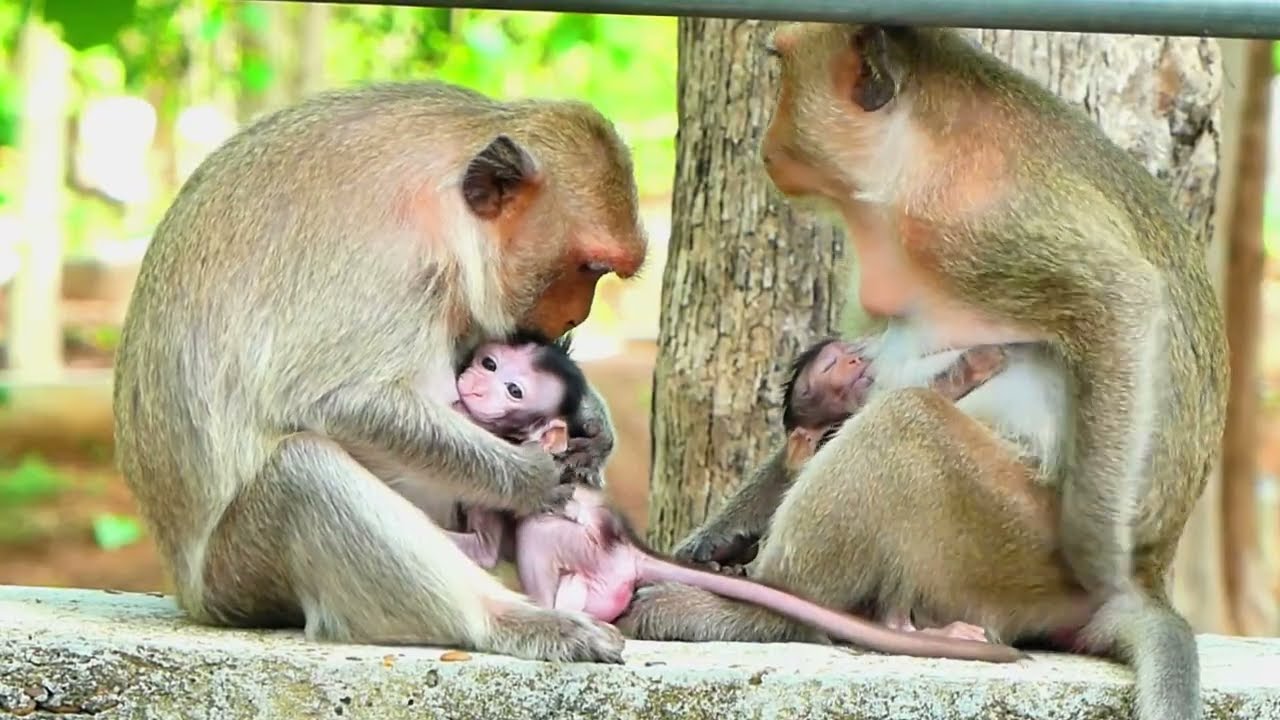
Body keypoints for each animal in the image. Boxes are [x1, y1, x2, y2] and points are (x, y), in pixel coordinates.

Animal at [111, 80, 649, 663]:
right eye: (590, 268)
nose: (578, 316)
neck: (445, 200)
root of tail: (194, 596)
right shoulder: (396, 262)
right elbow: (331, 401)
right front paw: (528, 477)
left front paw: (590, 419)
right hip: (240, 573)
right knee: (303, 473)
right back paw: (507, 621)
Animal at [618, 24, 1226, 720]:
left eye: (780, 71)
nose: (765, 144)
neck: (918, 150)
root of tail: (1155, 575)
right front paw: (715, 536)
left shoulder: (975, 220)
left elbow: (1120, 299)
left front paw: (1097, 554)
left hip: (1010, 545)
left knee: (905, 424)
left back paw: (773, 610)